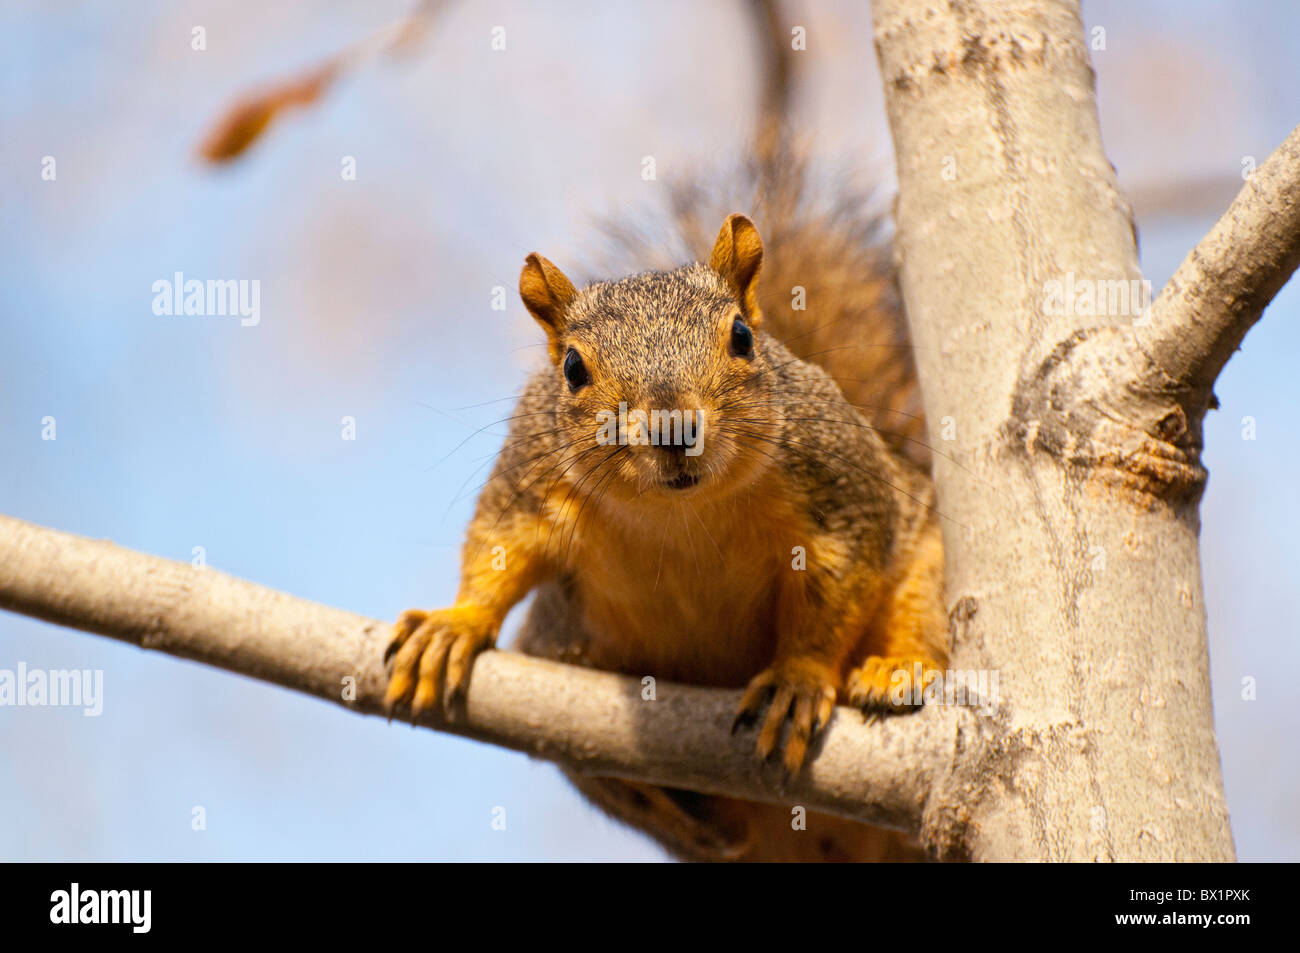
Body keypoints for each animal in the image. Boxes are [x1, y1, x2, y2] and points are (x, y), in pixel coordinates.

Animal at [383, 159, 949, 861]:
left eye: (742, 337)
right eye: (573, 368)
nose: (672, 428)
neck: (678, 511)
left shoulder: (838, 490)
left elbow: (836, 587)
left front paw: (797, 678)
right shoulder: (532, 471)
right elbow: (498, 546)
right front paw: (454, 626)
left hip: (927, 557)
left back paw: (897, 670)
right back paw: (672, 802)